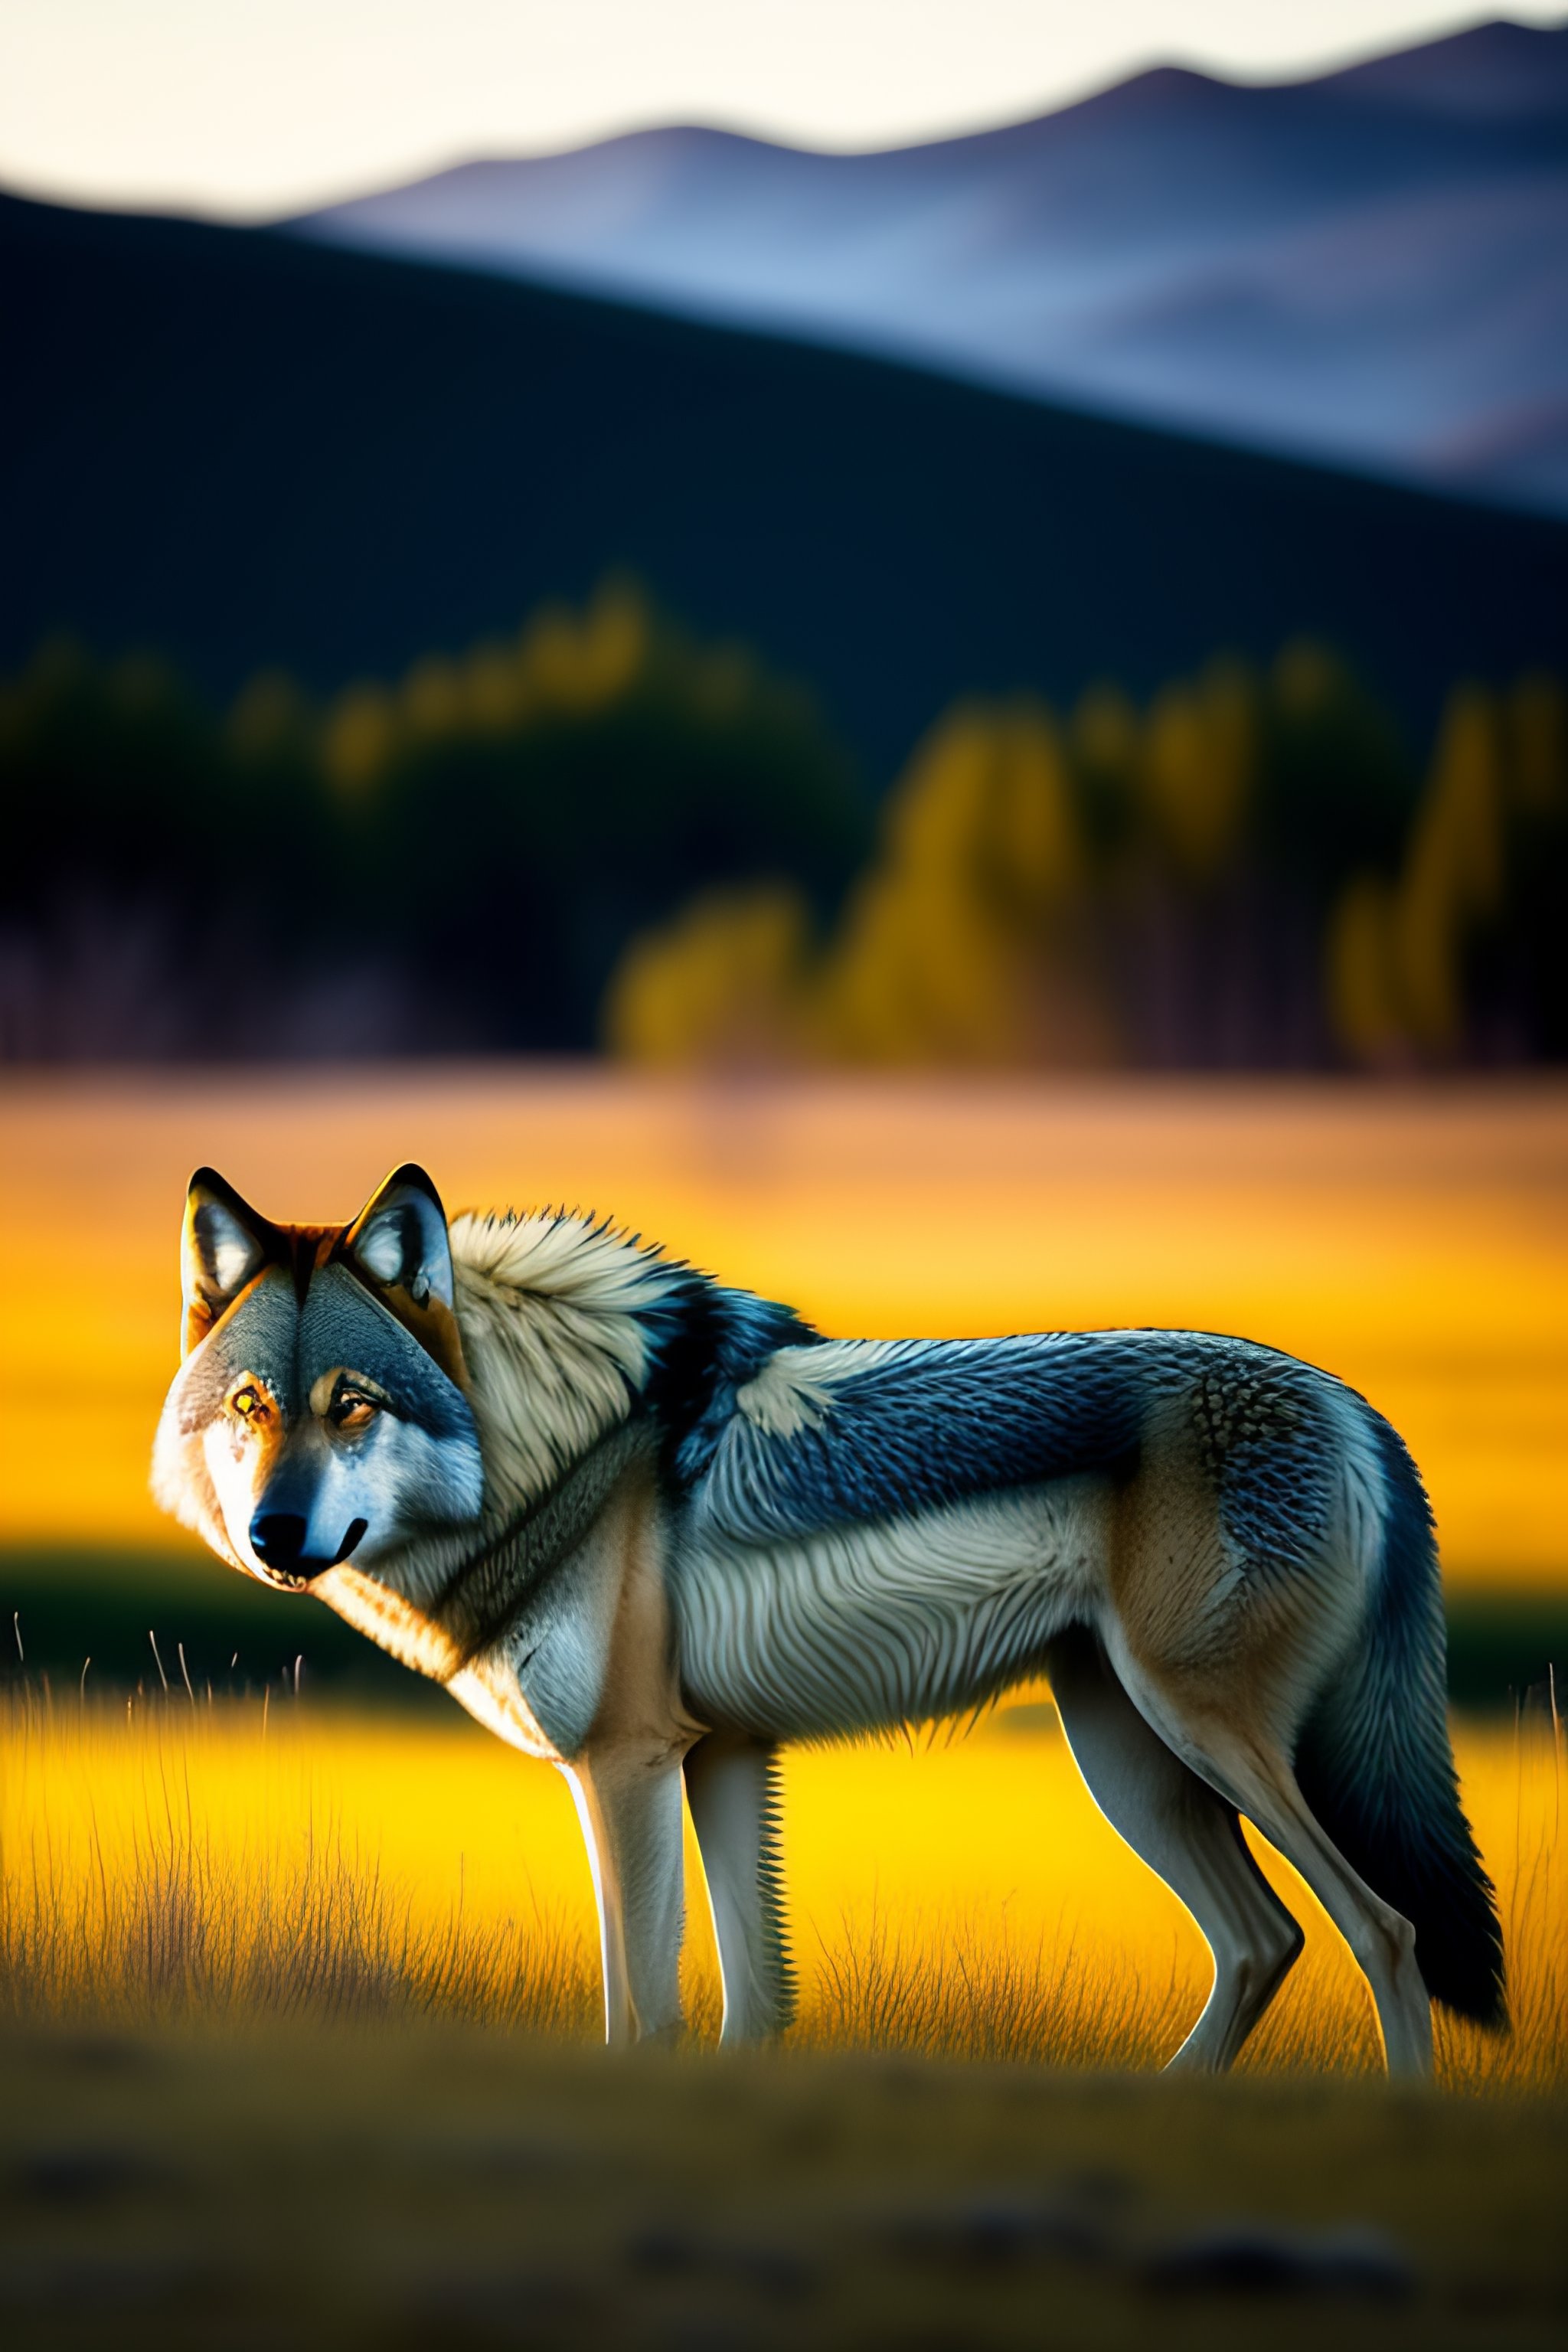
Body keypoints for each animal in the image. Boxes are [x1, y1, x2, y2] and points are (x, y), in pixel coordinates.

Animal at [153, 1161, 1504, 2074]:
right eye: (254, 1405)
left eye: (354, 1405)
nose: (275, 1535)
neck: (566, 1450)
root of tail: (1356, 1405)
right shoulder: (723, 1757)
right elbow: (752, 2006)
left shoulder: (627, 1765)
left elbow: (643, 2014)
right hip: (1132, 1761)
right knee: (1266, 1942)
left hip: (1202, 1741)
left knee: (1388, 1931)